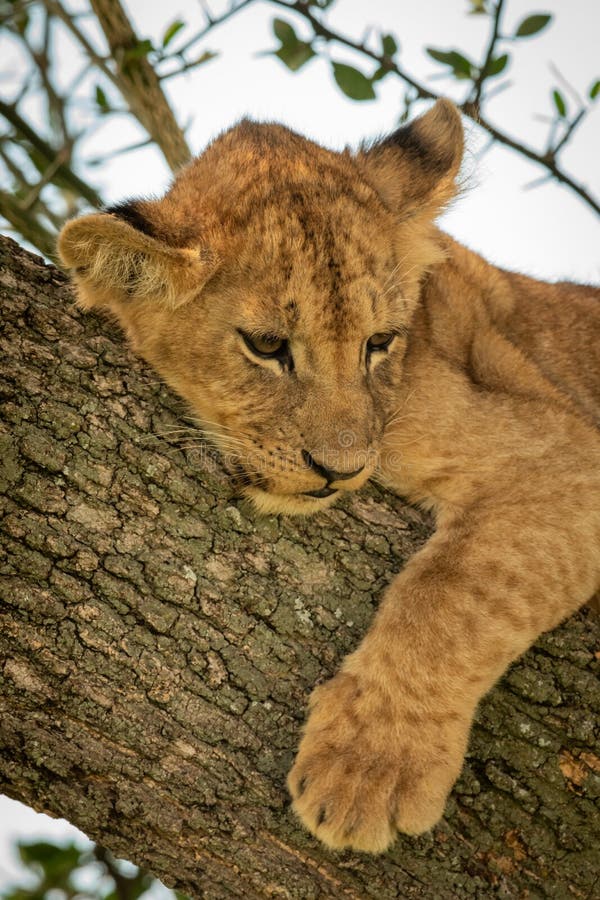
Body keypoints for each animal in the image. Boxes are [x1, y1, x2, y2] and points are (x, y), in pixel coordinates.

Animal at [58, 99, 600, 854]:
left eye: (380, 342)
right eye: (266, 346)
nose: (338, 471)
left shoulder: (563, 451)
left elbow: (454, 596)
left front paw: (370, 770)